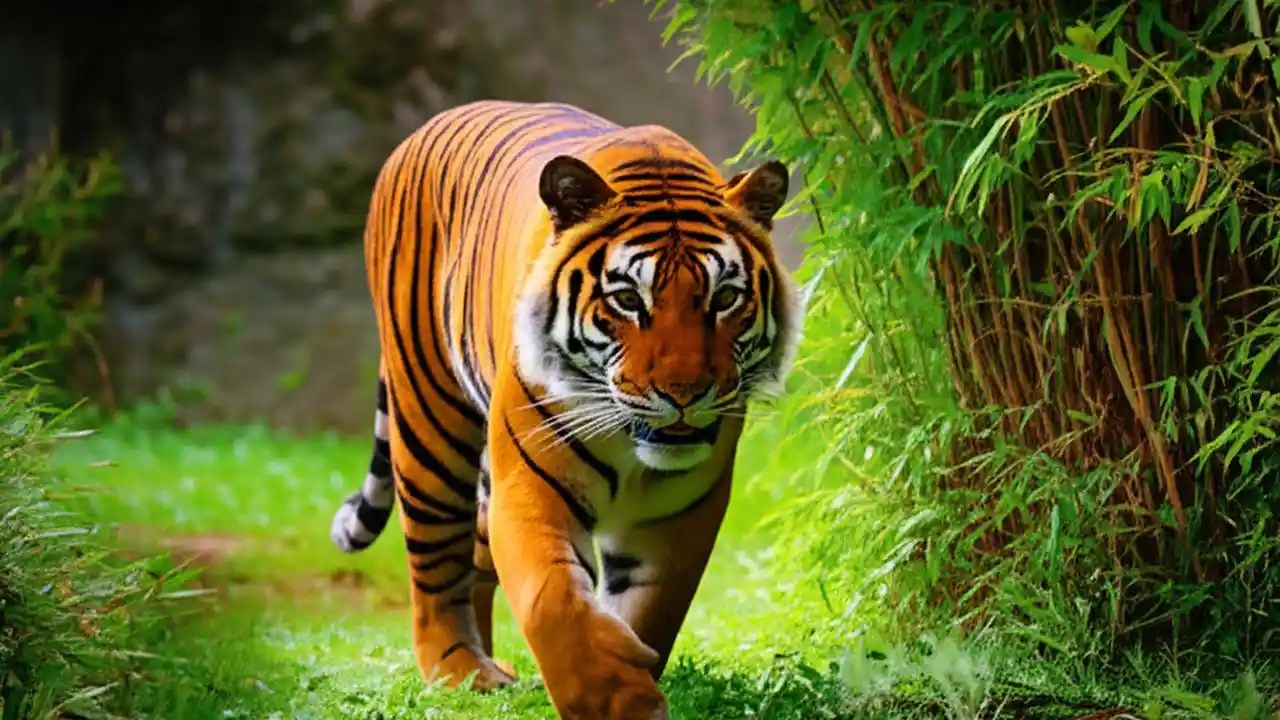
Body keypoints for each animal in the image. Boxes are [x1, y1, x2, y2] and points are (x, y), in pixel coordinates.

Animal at [328, 100, 799, 719]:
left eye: (724, 299)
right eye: (627, 299)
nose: (684, 393)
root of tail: (419, 132)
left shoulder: (677, 513)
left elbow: (651, 608)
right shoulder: (529, 487)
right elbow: (551, 599)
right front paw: (615, 700)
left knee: (473, 563)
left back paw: (492, 666)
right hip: (430, 426)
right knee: (435, 563)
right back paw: (459, 672)